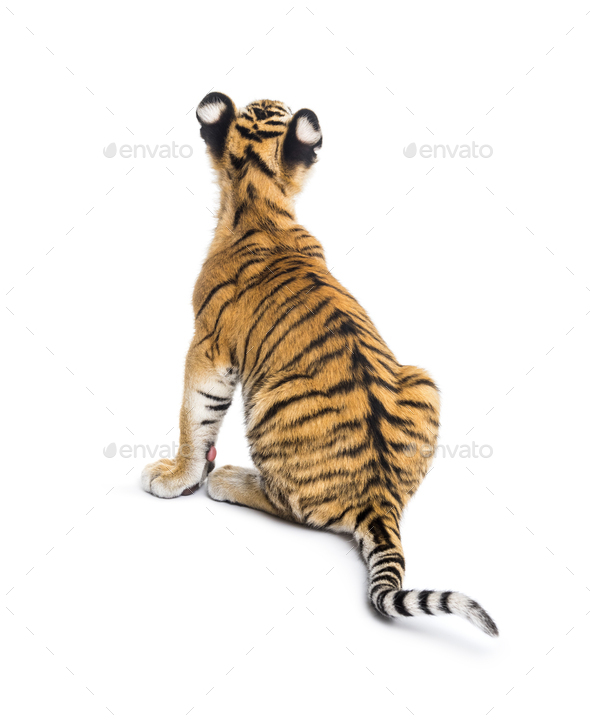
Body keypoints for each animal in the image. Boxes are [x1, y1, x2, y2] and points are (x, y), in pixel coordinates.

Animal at [141, 93, 498, 637]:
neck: (260, 202)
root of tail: (379, 498)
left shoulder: (207, 347)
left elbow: (193, 416)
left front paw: (177, 476)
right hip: (424, 380)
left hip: (270, 403)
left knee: (292, 507)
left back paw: (229, 481)